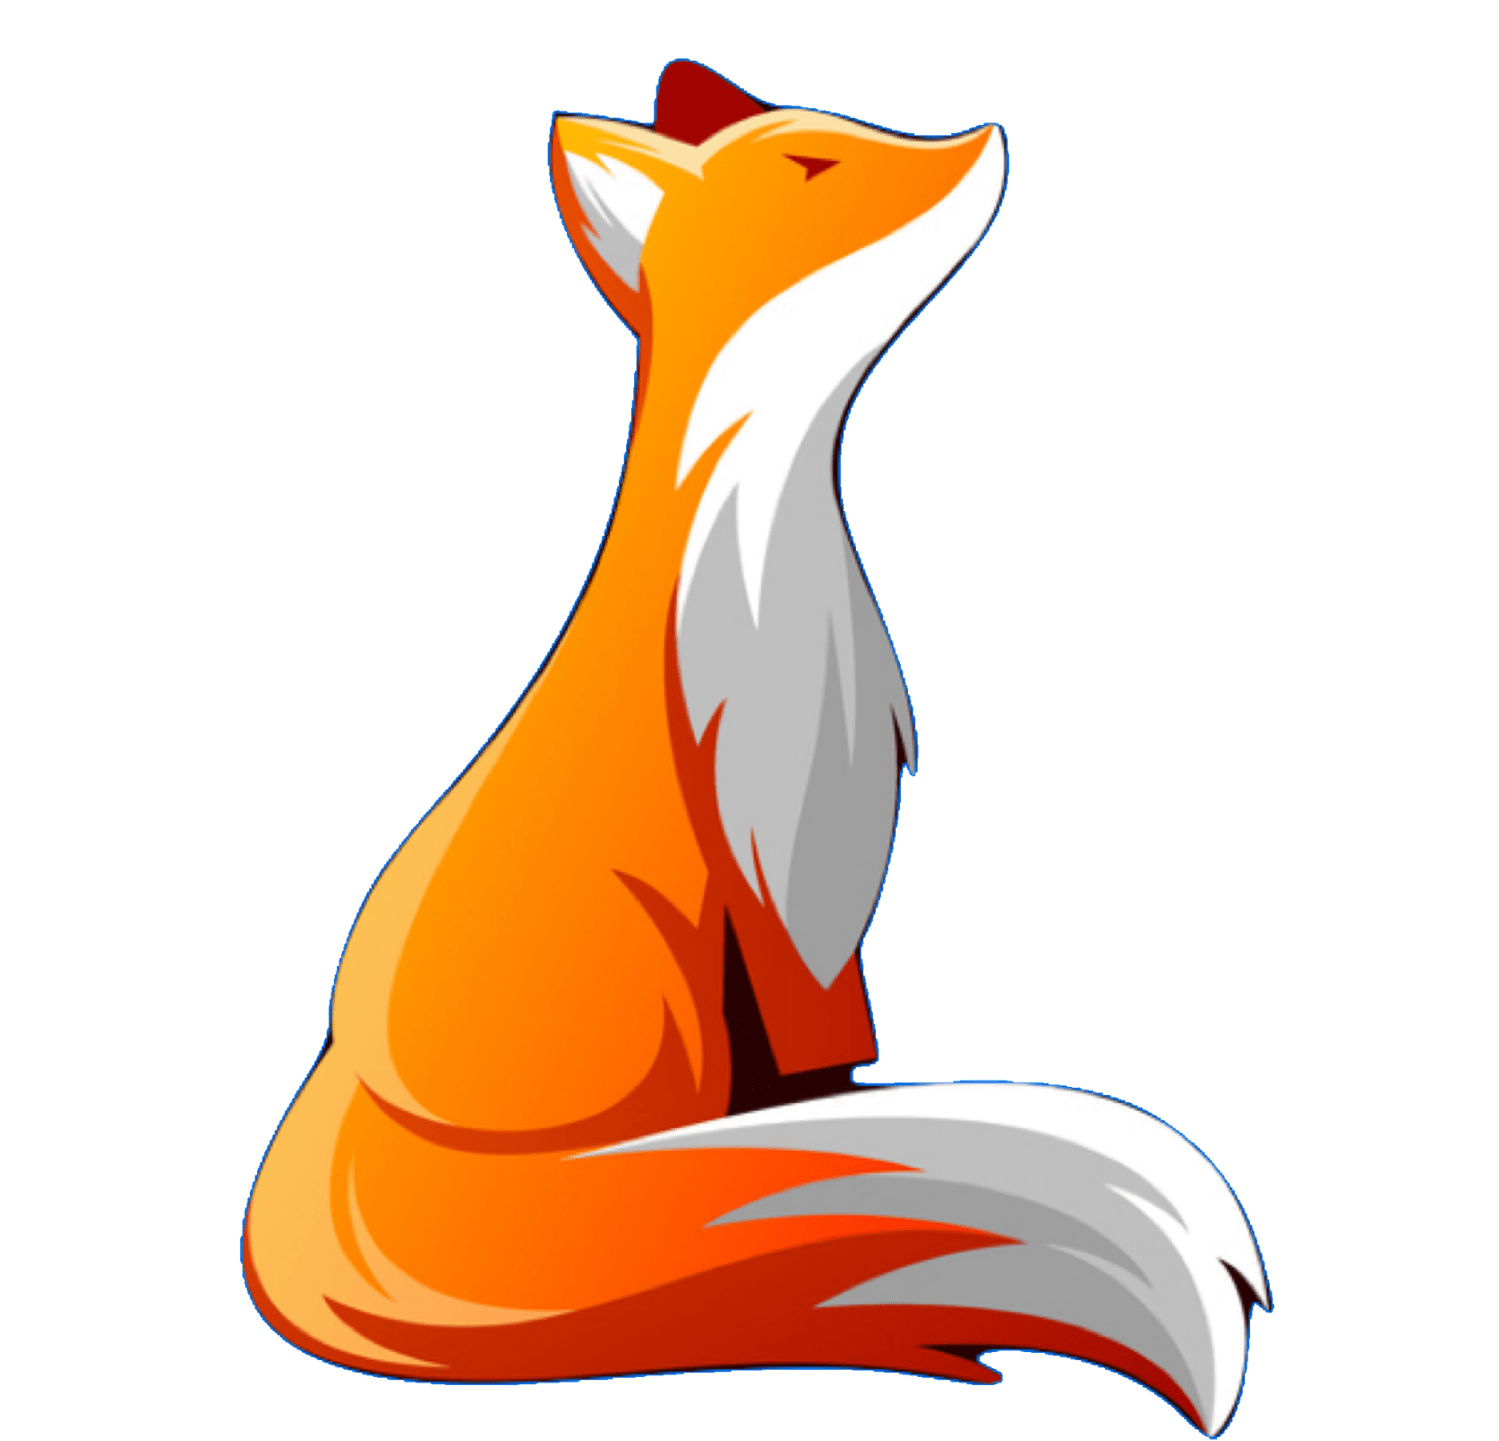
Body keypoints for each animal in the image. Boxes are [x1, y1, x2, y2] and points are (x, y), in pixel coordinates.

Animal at [243, 60, 1269, 1434]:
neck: (761, 530)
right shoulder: (771, 839)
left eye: (852, 133)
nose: (980, 140)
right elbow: (803, 1052)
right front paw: (812, 1123)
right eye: (816, 168)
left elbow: (821, 1059)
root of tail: (342, 1099)